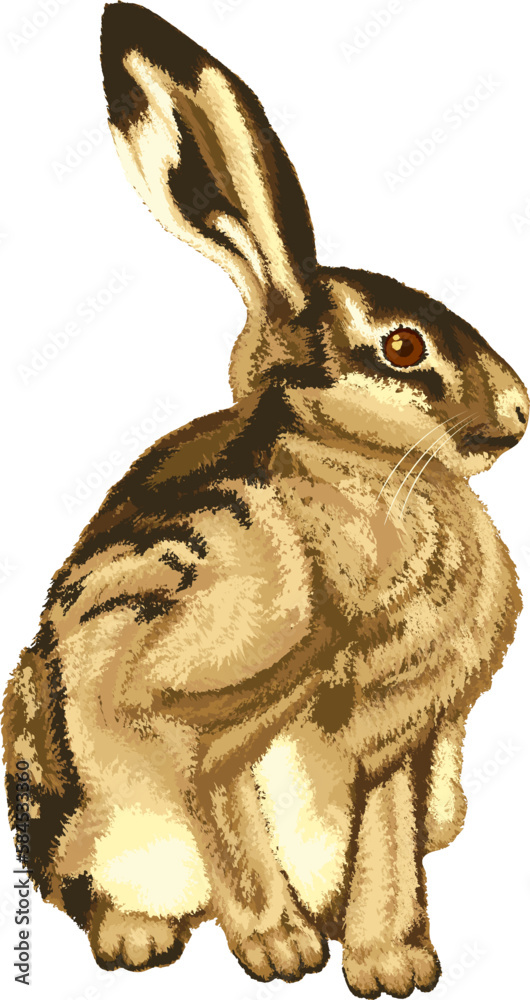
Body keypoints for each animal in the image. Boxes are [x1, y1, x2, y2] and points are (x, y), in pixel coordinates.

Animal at [2, 2, 528, 996]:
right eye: (404, 347)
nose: (521, 412)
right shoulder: (193, 708)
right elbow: (226, 815)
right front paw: (281, 951)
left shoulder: (401, 749)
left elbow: (391, 848)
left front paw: (391, 964)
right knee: (93, 881)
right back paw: (138, 940)